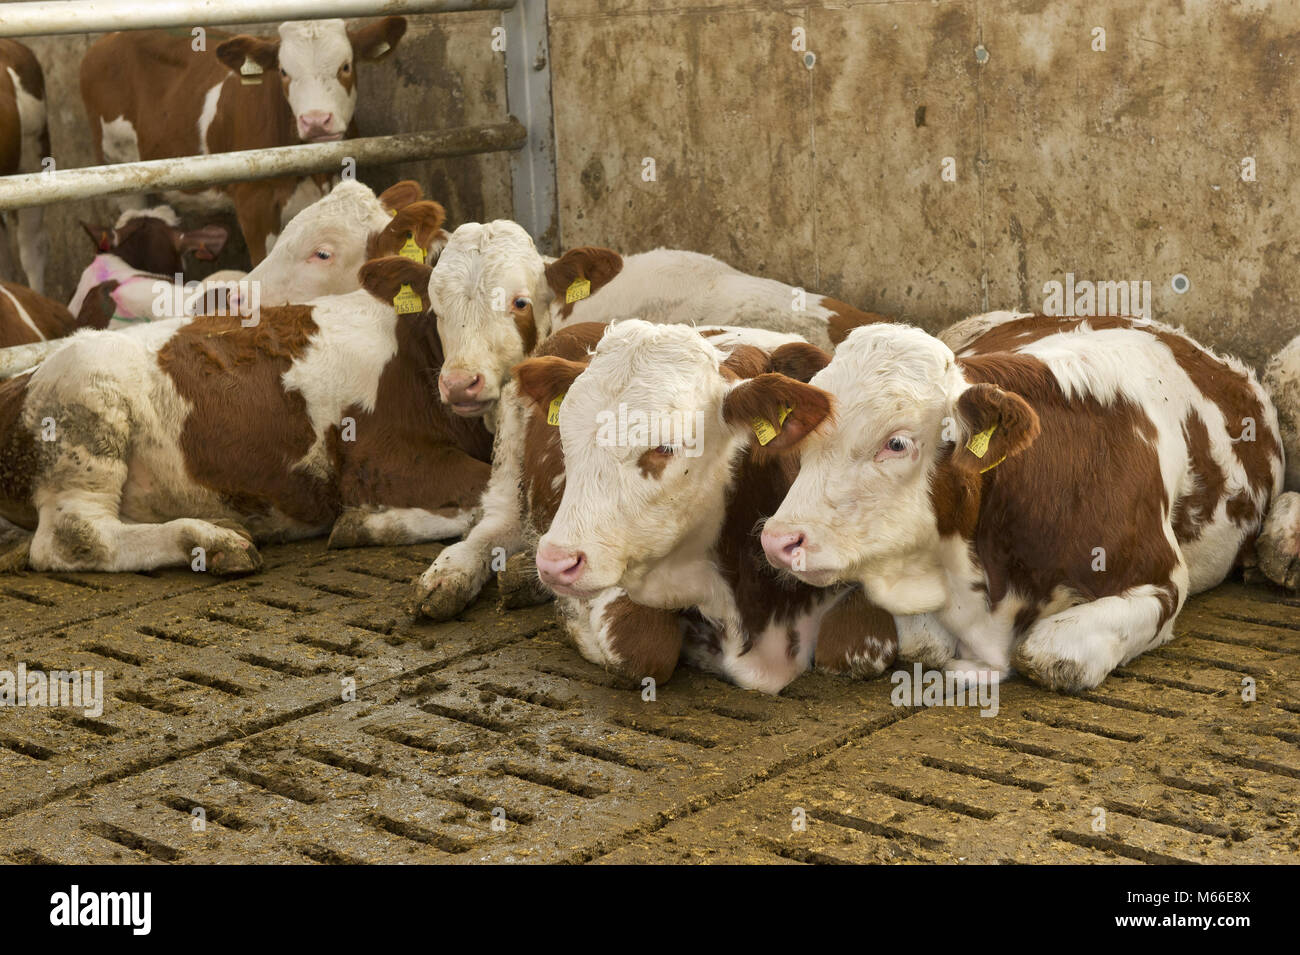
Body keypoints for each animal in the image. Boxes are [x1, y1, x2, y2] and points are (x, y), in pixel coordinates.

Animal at [0, 252, 491, 574]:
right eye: (443, 307)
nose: (467, 380)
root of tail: (24, 376)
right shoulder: (381, 461)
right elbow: (483, 495)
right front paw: (365, 523)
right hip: (87, 414)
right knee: (75, 536)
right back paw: (209, 541)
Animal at [80, 17, 407, 261]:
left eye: (346, 66)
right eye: (284, 72)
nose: (316, 121)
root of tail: (106, 41)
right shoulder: (254, 203)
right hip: (117, 167)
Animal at [412, 320, 911, 692]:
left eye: (665, 447)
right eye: (564, 438)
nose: (556, 562)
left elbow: (856, 646)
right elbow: (643, 649)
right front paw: (571, 618)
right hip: (508, 457)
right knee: (493, 526)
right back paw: (454, 576)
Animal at [752, 314, 1285, 692]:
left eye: (897, 443)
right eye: (807, 433)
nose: (779, 540)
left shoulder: (1161, 581)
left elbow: (1047, 655)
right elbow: (911, 641)